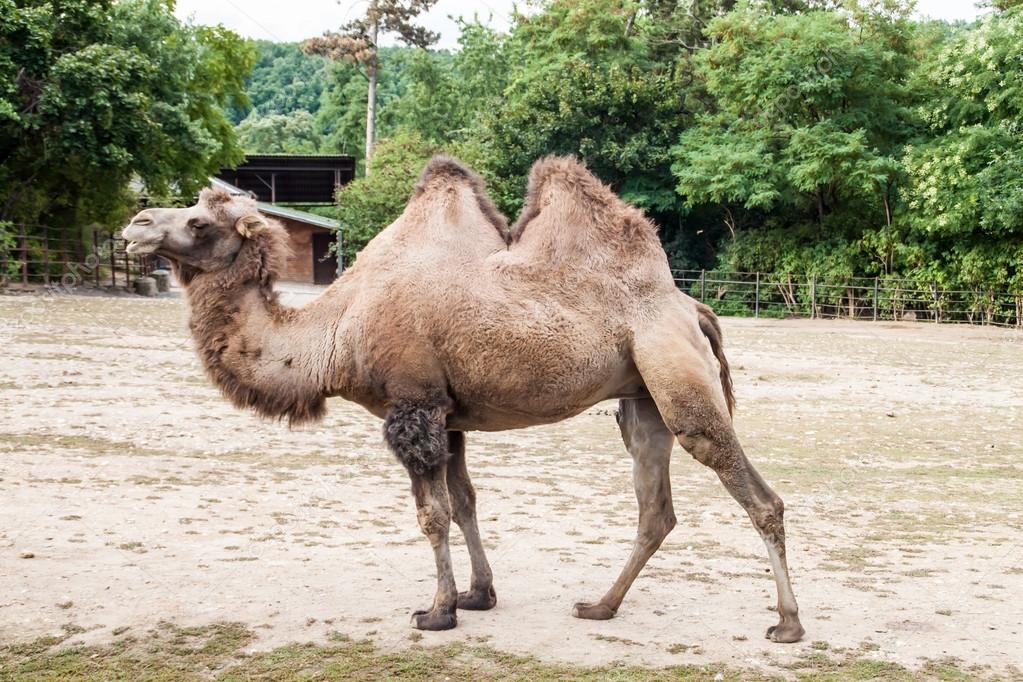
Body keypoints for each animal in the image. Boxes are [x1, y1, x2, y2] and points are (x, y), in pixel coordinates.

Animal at [121, 156, 805, 642]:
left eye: (199, 221)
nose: (135, 225)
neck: (336, 332)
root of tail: (689, 305)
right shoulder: (447, 416)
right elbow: (466, 502)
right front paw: (479, 595)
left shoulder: (411, 406)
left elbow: (432, 514)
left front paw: (438, 611)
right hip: (641, 399)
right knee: (654, 508)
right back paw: (599, 606)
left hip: (675, 373)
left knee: (753, 491)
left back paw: (788, 624)